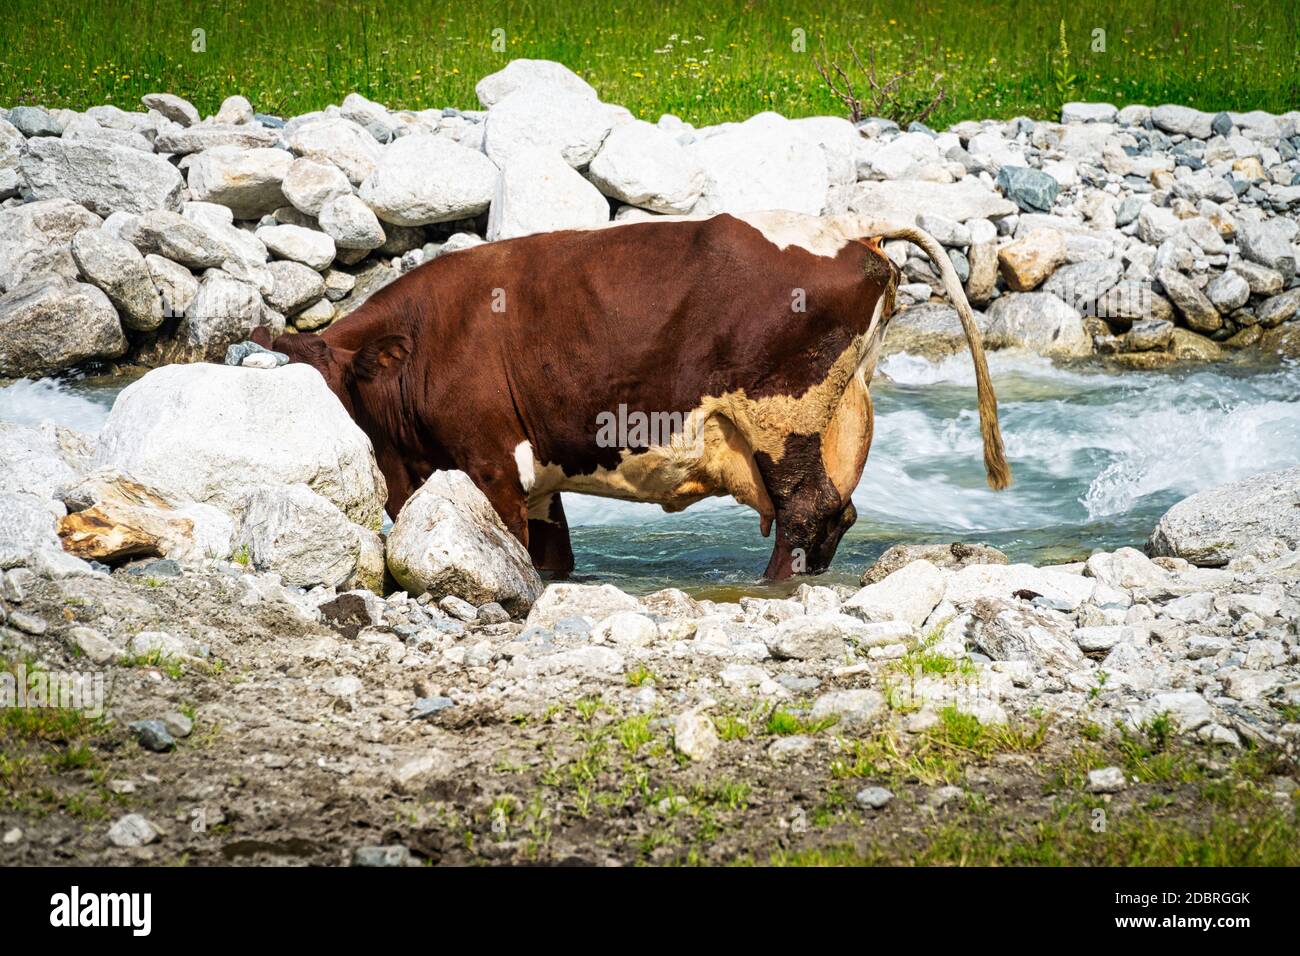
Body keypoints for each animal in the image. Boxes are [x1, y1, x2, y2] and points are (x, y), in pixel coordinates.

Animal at [249, 210, 1010, 580]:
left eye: (329, 399)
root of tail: (852, 234)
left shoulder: (489, 462)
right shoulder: (535, 475)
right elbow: (550, 558)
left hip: (780, 418)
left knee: (805, 509)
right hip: (831, 417)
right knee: (835, 512)